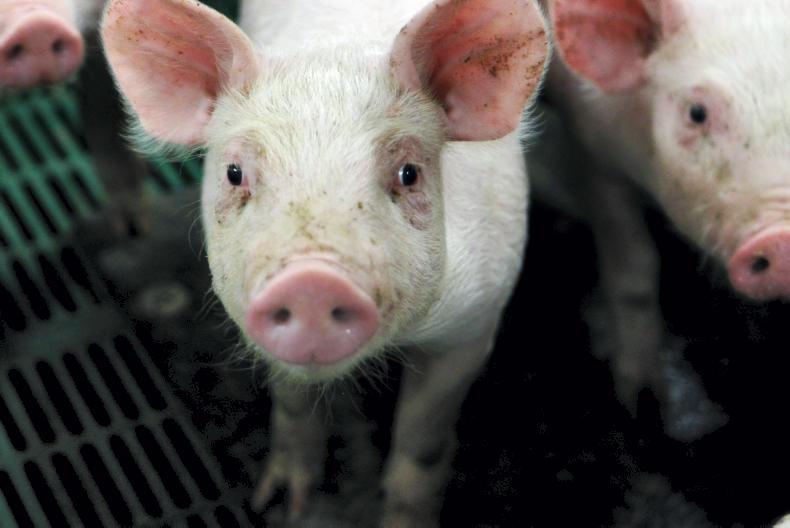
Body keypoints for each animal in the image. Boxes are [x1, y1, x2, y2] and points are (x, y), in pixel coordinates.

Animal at [100, 0, 549, 525]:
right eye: (234, 173)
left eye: (408, 173)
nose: (311, 283)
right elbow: (294, 406)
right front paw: (281, 503)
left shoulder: (476, 322)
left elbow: (421, 444)